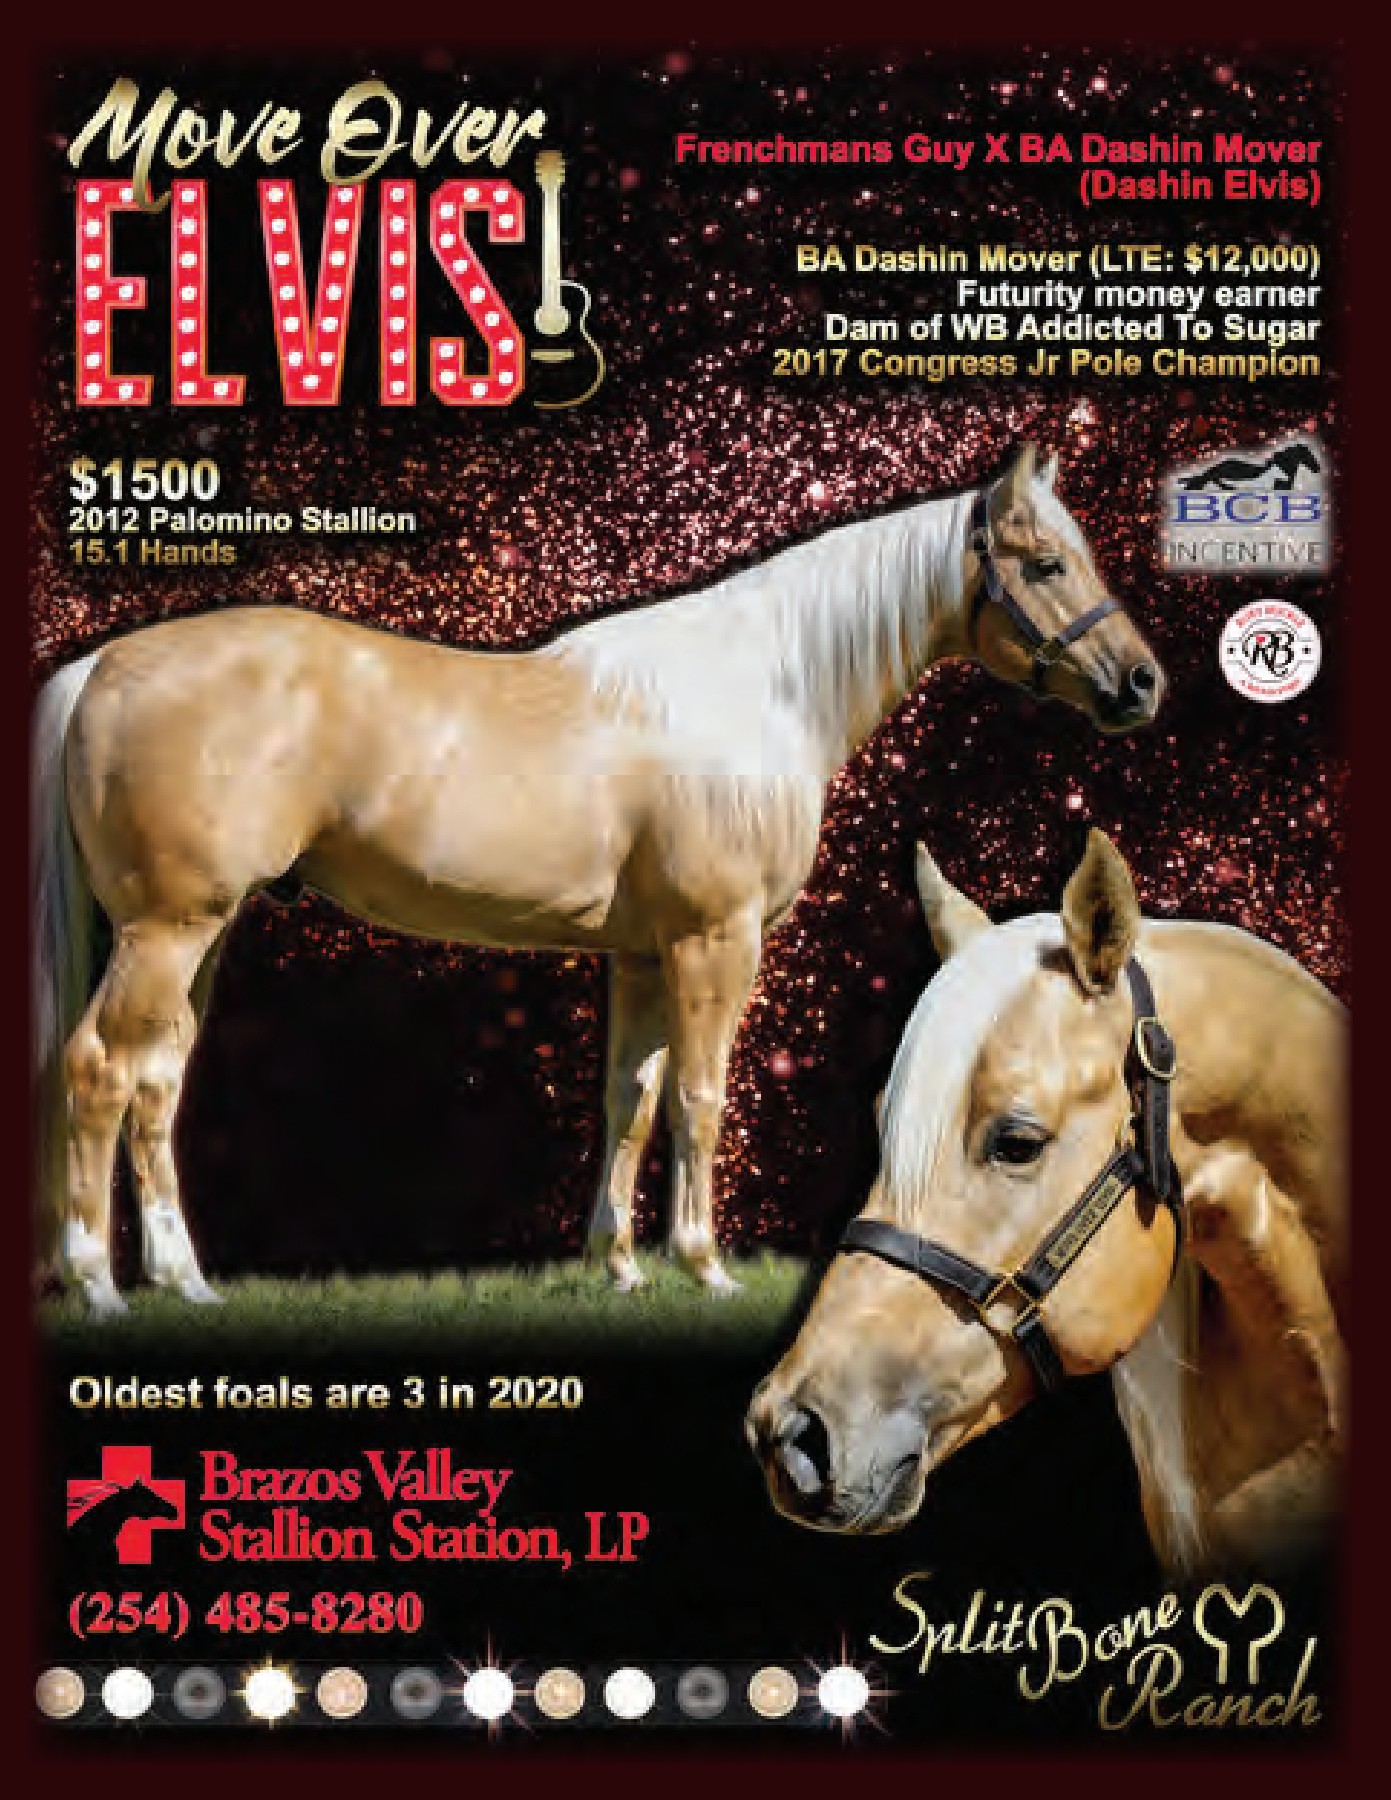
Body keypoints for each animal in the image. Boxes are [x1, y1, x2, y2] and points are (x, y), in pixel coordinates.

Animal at [33, 442, 1165, 1316]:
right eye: (1042, 563)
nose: (1140, 684)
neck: (761, 689)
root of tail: (98, 666)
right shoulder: (716, 939)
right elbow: (701, 1096)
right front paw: (703, 1268)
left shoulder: (641, 953)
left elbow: (632, 1096)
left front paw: (618, 1266)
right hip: (167, 930)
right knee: (96, 1069)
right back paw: (97, 1284)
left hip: (203, 933)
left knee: (156, 1078)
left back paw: (185, 1283)